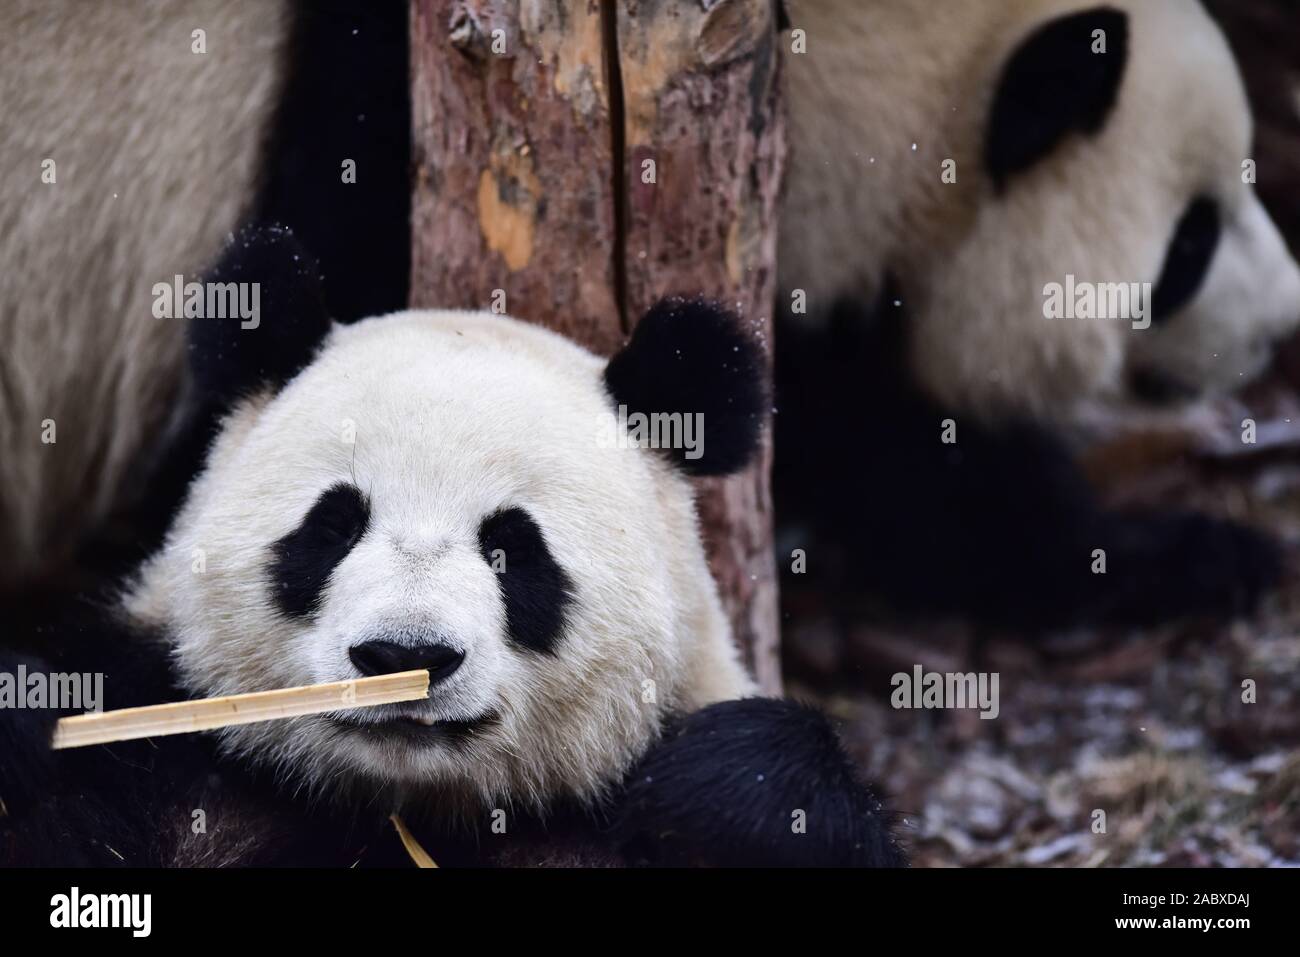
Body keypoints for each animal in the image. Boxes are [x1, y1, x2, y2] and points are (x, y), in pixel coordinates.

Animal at [0, 226, 904, 868]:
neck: (408, 808)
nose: (404, 654)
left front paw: (734, 787)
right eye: (334, 526)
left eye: (513, 550)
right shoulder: (159, 733)